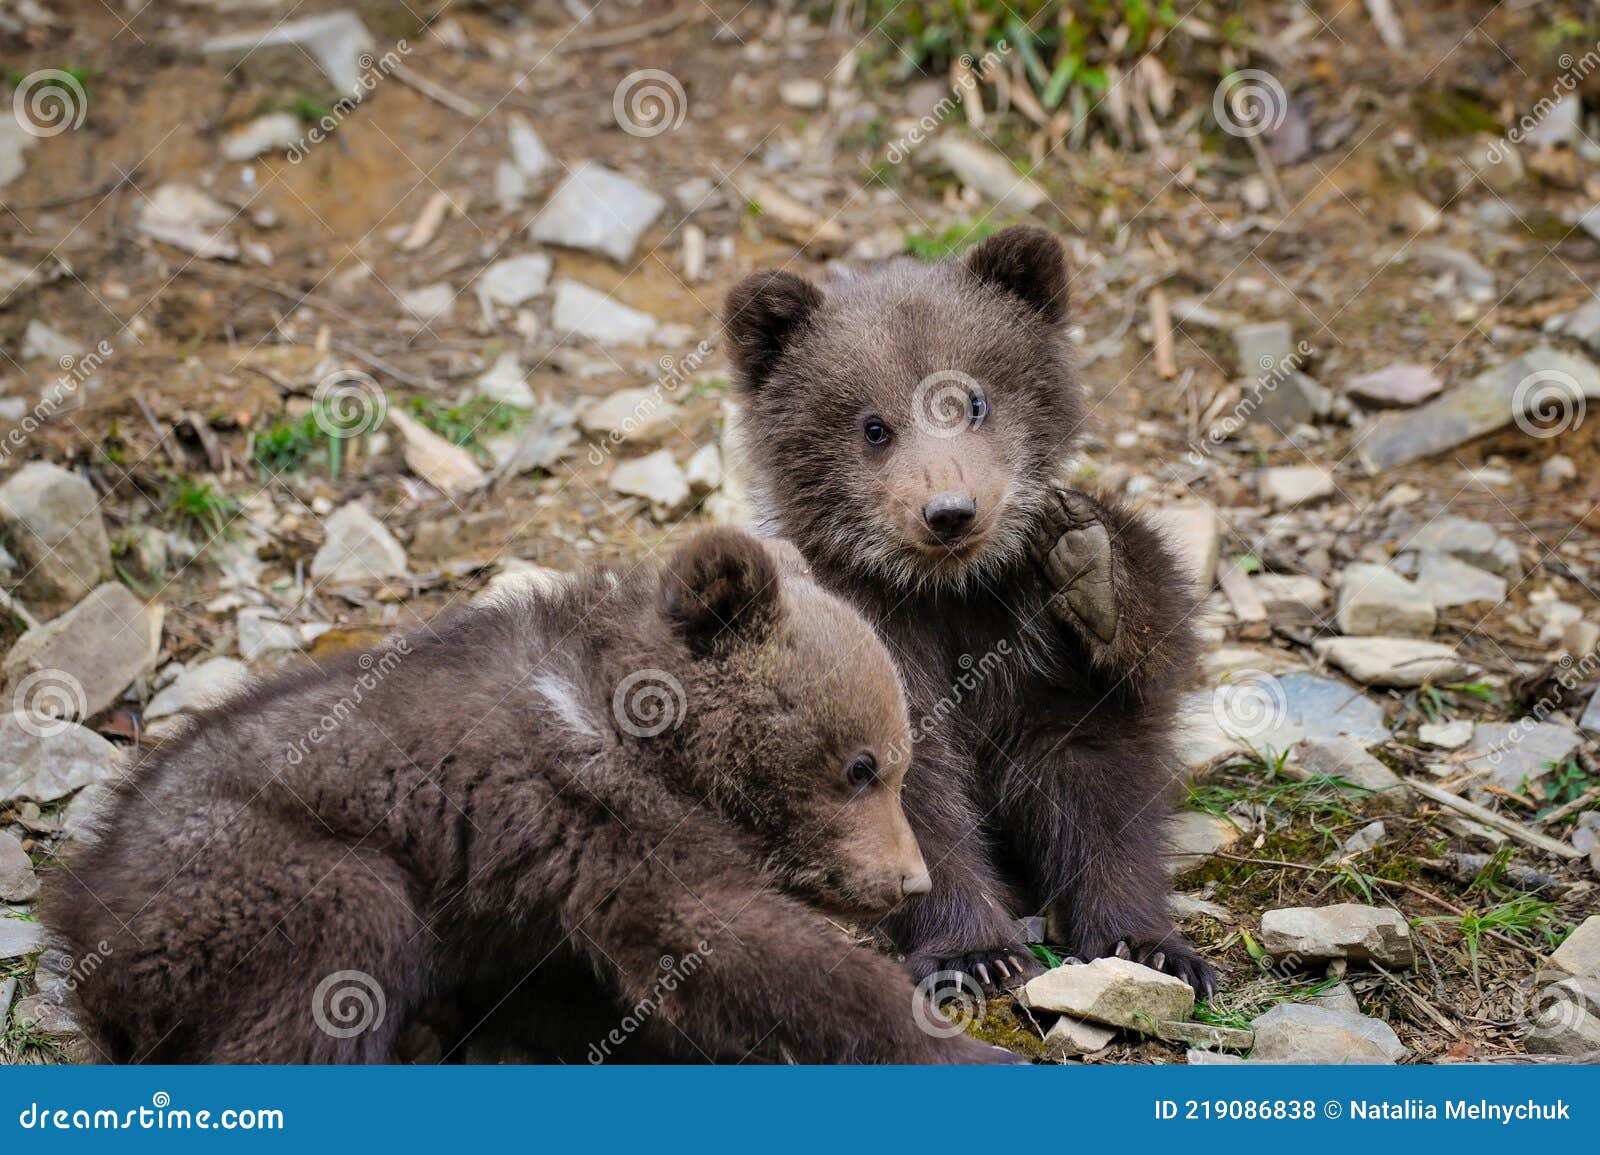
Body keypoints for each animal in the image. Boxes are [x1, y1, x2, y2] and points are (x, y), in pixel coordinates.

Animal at [41, 528, 1013, 1064]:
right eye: (862, 765)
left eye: (895, 762)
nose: (910, 881)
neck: (653, 736)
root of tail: (81, 913)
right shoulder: (607, 820)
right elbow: (733, 946)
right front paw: (955, 1046)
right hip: (249, 873)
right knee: (328, 959)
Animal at [722, 226, 1216, 997]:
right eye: (873, 426)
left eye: (974, 401)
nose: (950, 510)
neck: (949, 589)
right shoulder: (870, 636)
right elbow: (911, 798)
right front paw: (975, 952)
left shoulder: (1037, 642)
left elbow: (1128, 706)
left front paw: (1090, 565)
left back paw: (1147, 945)